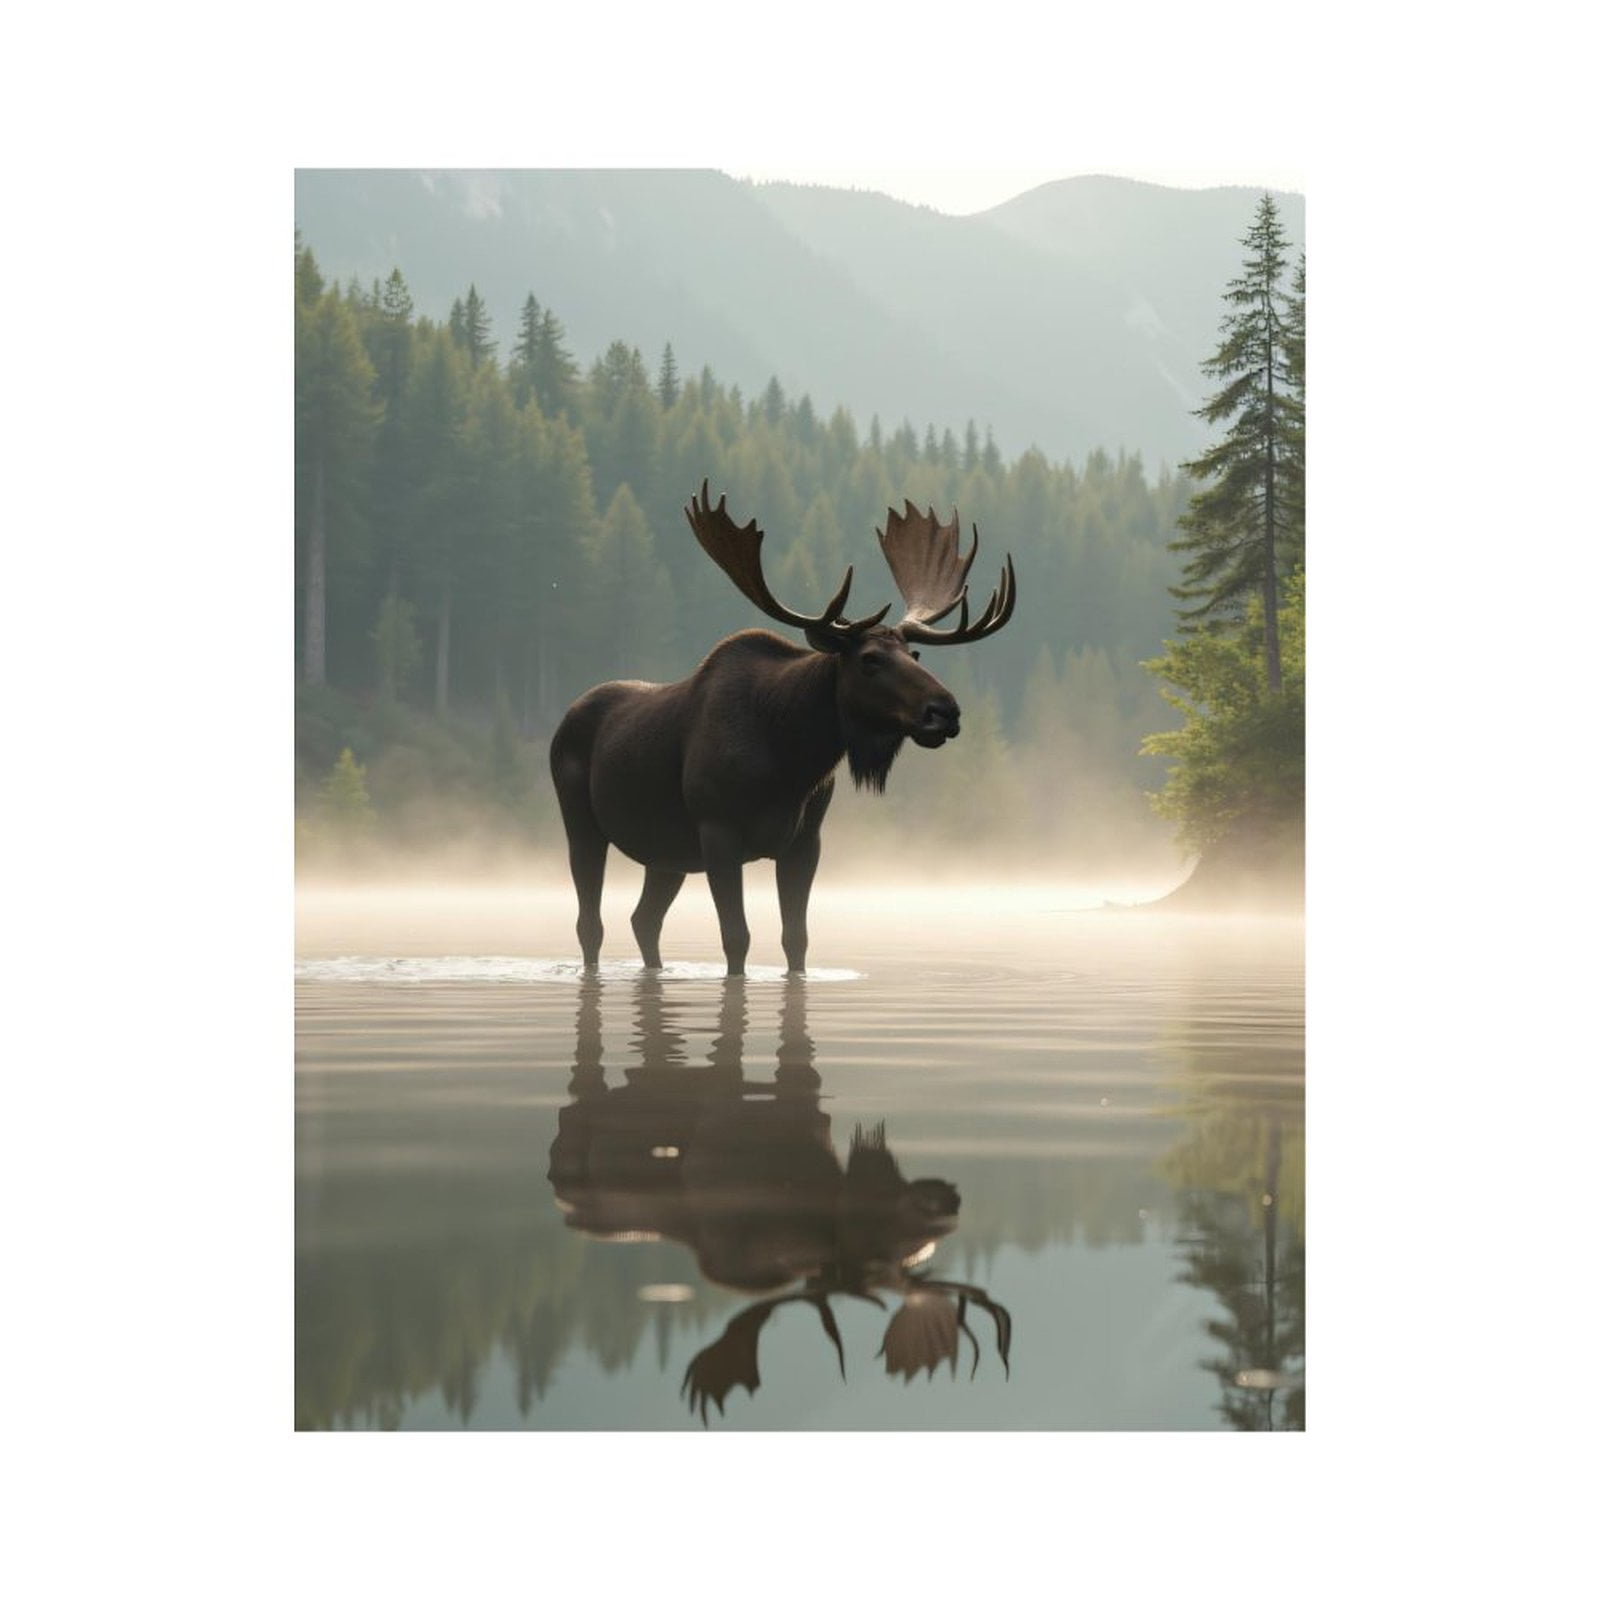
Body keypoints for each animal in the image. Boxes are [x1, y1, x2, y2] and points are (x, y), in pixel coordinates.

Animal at [549, 481, 1017, 975]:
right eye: (870, 659)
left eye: (915, 655)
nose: (945, 711)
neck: (789, 759)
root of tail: (564, 720)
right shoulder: (718, 833)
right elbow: (736, 938)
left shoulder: (804, 842)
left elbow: (797, 938)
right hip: (582, 825)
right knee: (590, 924)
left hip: (666, 853)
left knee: (644, 920)